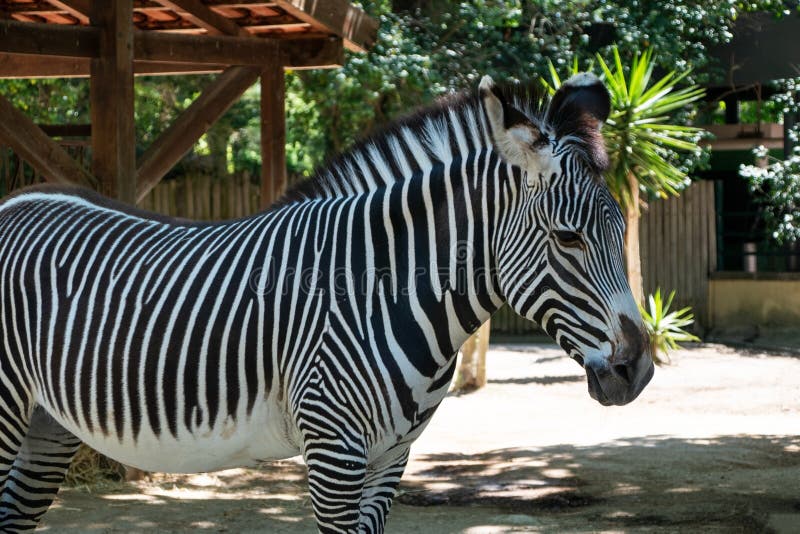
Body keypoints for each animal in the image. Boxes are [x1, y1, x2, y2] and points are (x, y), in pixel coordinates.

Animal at [0, 72, 653, 533]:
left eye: (621, 228)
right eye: (568, 238)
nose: (638, 371)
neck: (377, 290)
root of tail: (15, 201)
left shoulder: (392, 458)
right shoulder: (334, 452)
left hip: (45, 424)